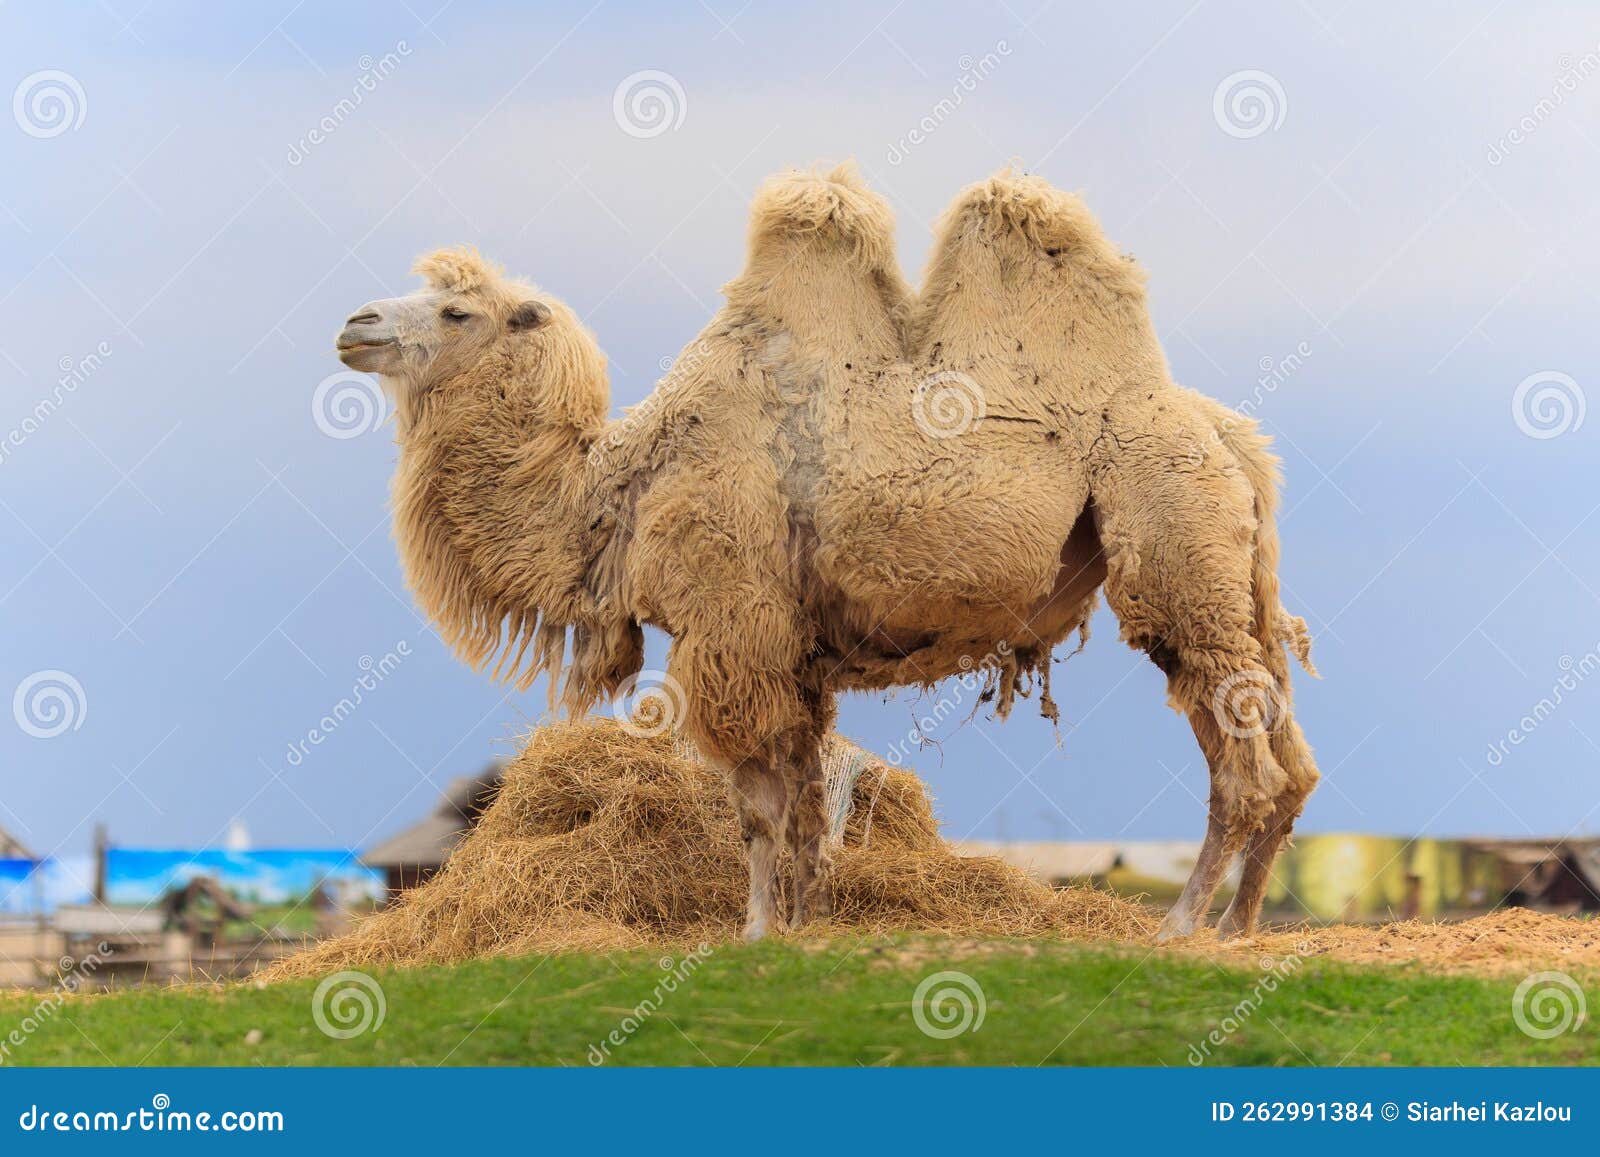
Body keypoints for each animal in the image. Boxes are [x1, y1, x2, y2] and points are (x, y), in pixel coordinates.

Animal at [334, 165, 1319, 943]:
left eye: (458, 309)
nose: (356, 323)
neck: (624, 487)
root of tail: (1232, 439)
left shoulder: (734, 629)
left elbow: (759, 808)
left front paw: (755, 933)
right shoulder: (796, 653)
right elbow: (808, 801)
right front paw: (803, 924)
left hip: (1173, 538)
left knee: (1242, 756)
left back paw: (1182, 924)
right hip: (1231, 575)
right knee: (1283, 748)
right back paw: (1240, 926)